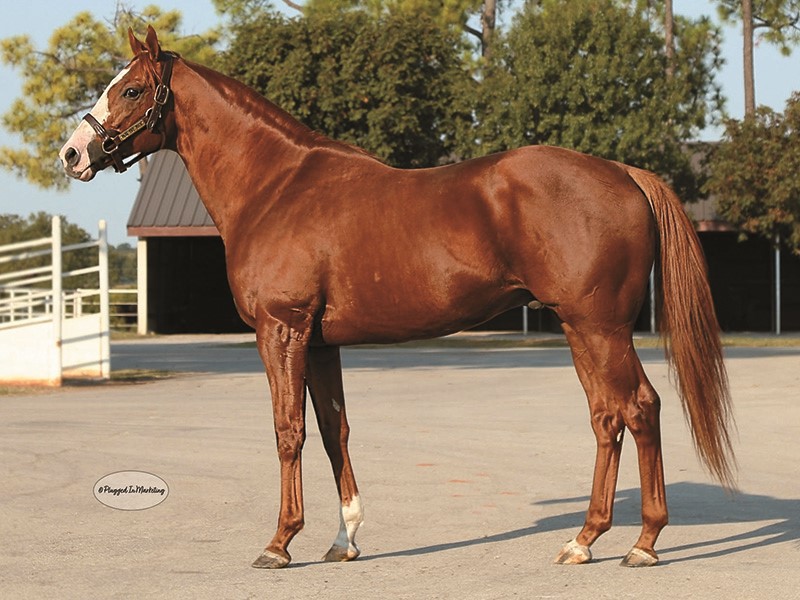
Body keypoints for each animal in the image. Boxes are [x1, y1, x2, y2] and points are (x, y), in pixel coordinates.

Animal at [59, 27, 734, 569]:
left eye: (130, 91)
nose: (72, 153)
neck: (275, 186)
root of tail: (623, 173)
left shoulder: (281, 331)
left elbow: (288, 430)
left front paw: (279, 543)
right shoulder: (319, 343)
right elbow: (333, 429)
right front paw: (344, 540)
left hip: (601, 327)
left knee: (640, 409)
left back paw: (643, 544)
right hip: (579, 328)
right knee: (606, 417)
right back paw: (584, 540)